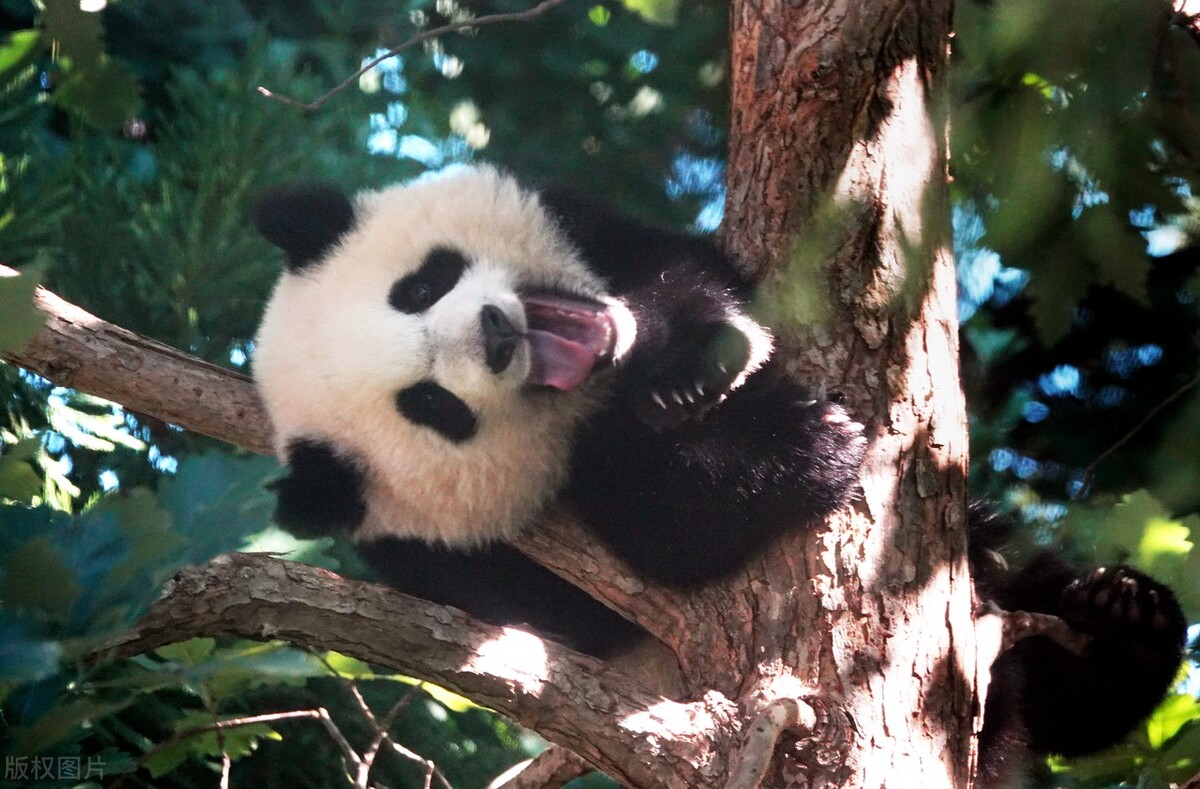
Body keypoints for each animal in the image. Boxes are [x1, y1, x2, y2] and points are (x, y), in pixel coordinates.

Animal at [251, 165, 1186, 784]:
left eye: (420, 285)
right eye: (430, 406)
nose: (496, 332)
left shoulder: (588, 228)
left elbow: (679, 270)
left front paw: (694, 360)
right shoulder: (461, 558)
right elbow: (659, 543)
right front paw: (799, 449)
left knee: (1041, 627)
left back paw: (1124, 614)